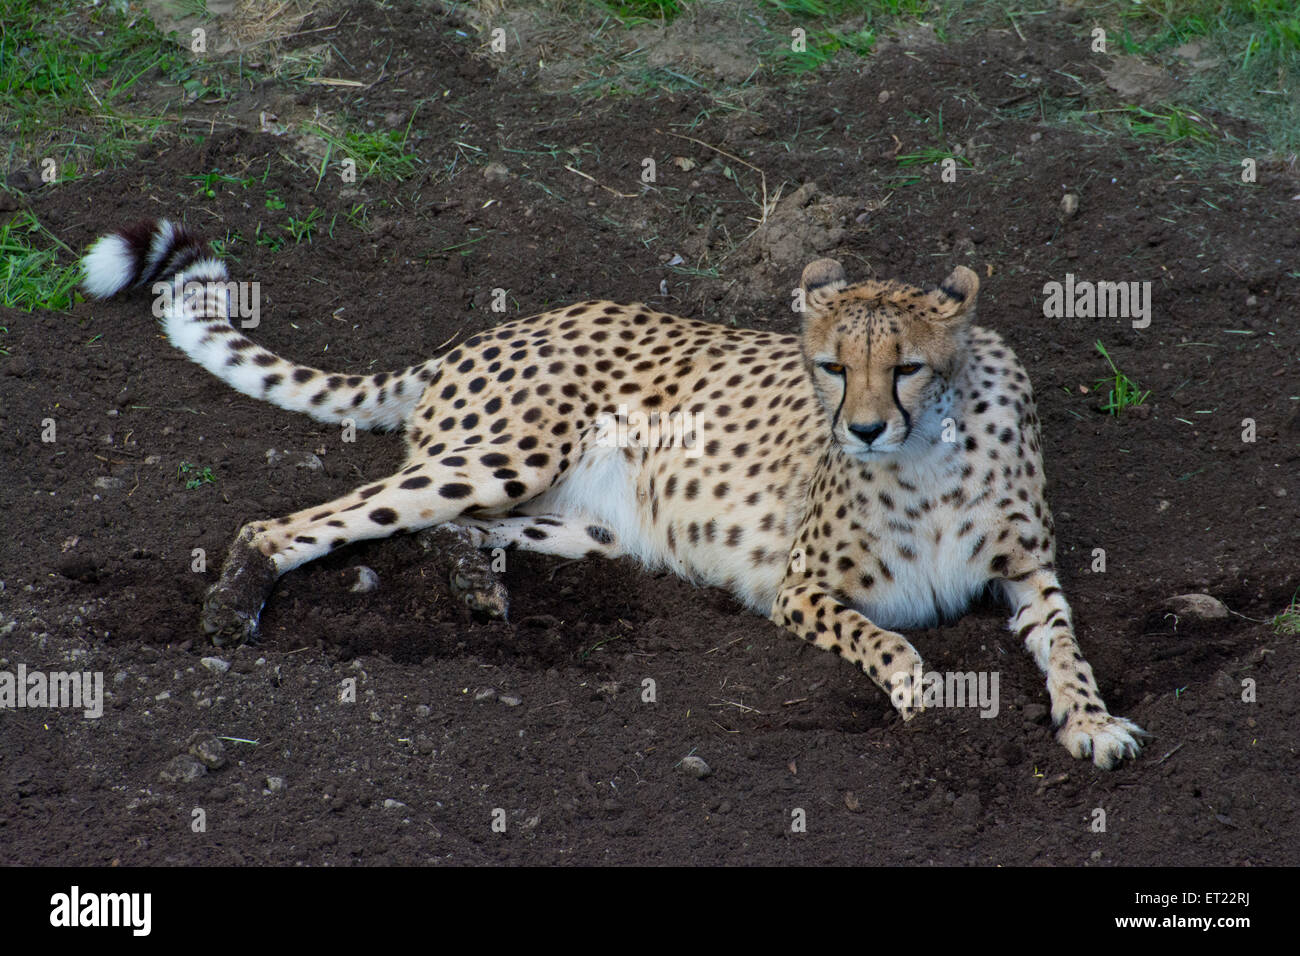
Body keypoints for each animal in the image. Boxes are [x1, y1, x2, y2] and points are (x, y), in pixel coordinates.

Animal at [82, 218, 1145, 768]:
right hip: (498, 457)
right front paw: (924, 688)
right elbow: (884, 637)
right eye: (833, 368)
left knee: (454, 531)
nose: (864, 427)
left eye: (908, 367)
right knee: (303, 517)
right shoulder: (799, 587)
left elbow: (1067, 646)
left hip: (596, 526)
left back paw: (475, 584)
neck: (926, 456)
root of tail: (483, 334)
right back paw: (236, 600)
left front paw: (1091, 722)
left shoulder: (1029, 570)